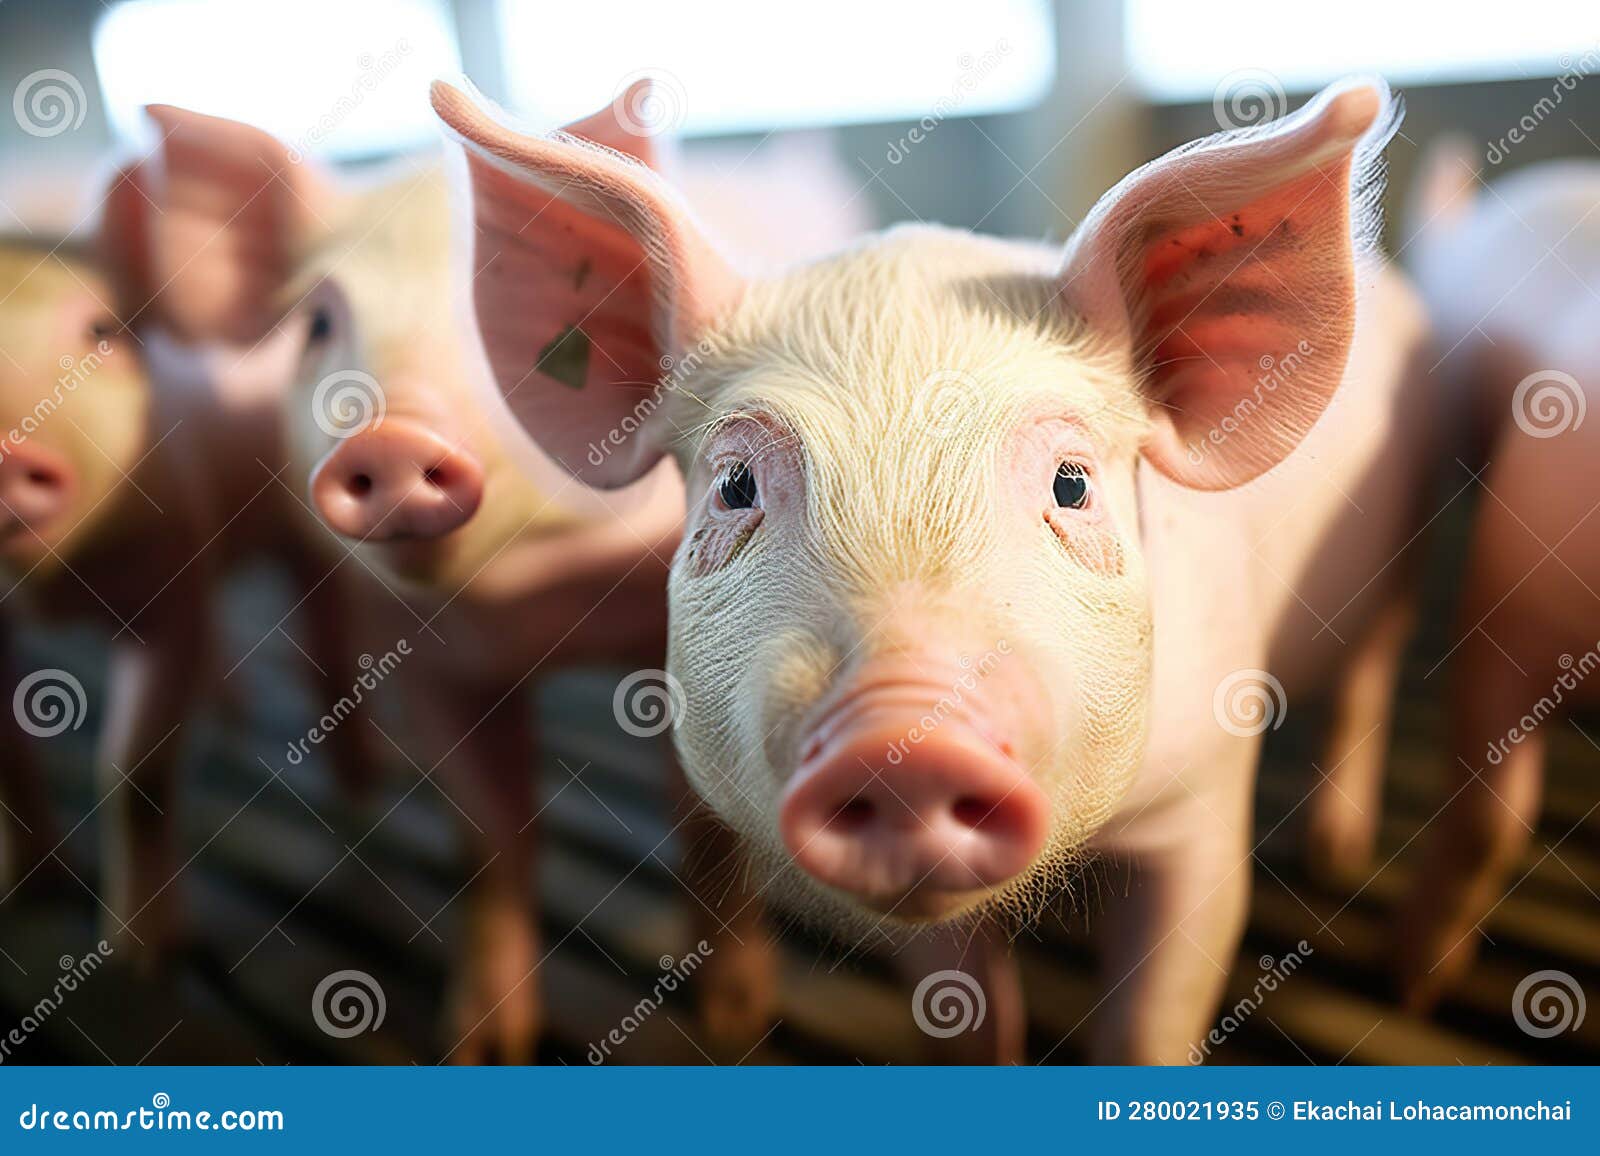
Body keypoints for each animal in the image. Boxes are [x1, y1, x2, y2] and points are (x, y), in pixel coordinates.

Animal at [0, 220, 368, 956]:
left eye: (100, 330)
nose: (9, 451)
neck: (47, 588)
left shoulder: (170, 582)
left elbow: (136, 765)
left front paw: (142, 957)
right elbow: (9, 757)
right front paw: (28, 892)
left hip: (308, 538)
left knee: (328, 638)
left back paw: (358, 796)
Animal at [125, 104, 875, 1061]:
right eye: (320, 322)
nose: (391, 440)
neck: (534, 614)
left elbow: (703, 822)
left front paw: (735, 1016)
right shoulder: (435, 664)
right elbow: (493, 838)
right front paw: (483, 1046)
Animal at [435, 73, 1440, 1062]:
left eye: (1073, 483)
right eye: (732, 485)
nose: (904, 741)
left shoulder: (1202, 801)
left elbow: (1154, 1012)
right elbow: (967, 1013)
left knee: (1371, 675)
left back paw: (1339, 850)